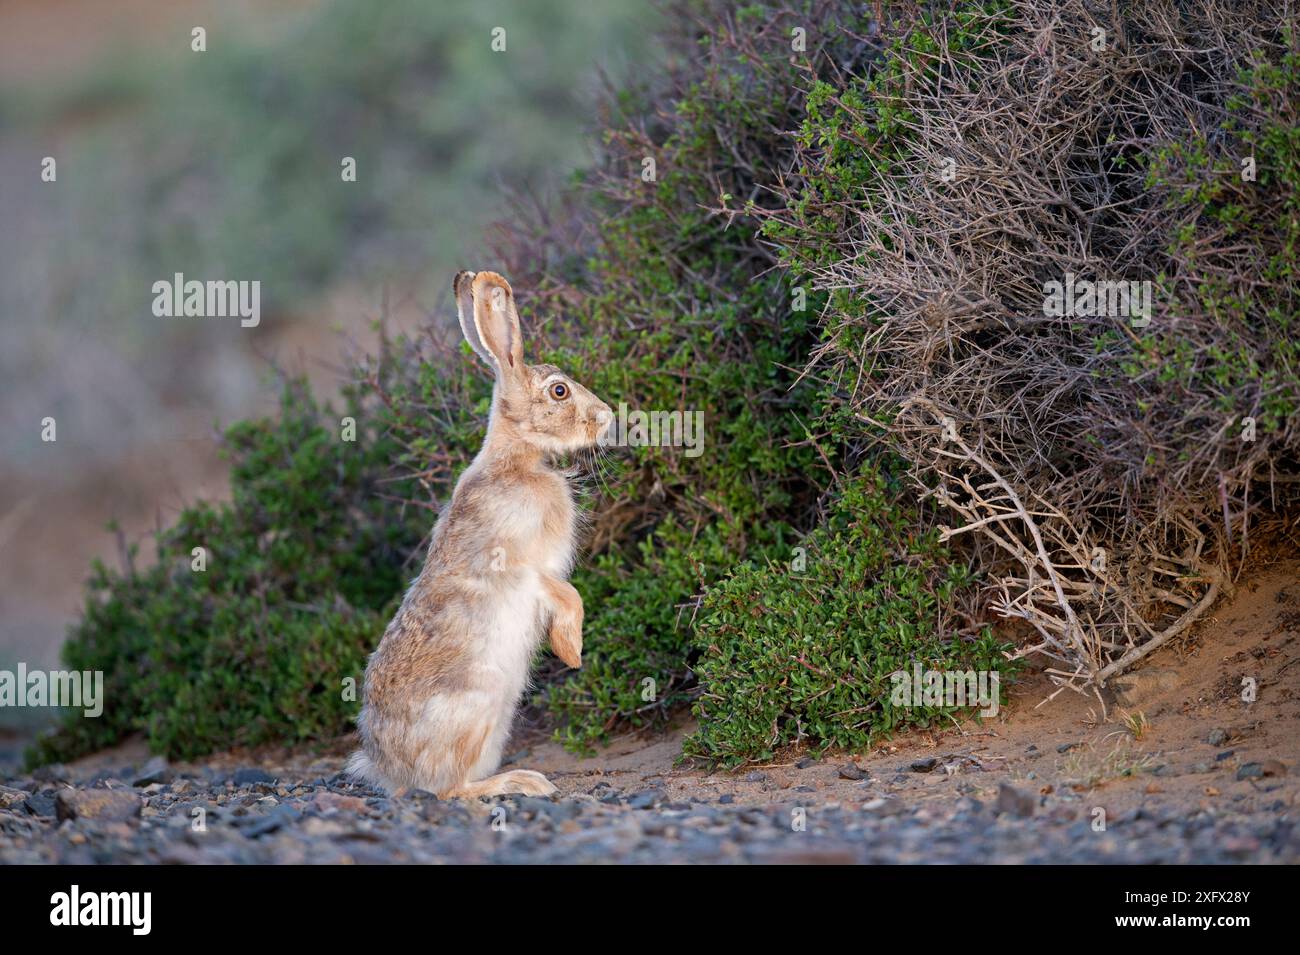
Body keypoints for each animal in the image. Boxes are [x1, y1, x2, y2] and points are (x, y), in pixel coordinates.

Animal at [346, 270, 613, 798]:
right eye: (559, 392)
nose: (609, 417)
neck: (519, 459)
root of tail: (390, 769)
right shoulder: (521, 564)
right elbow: (568, 594)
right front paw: (571, 652)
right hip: (474, 707)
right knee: (449, 790)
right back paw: (525, 782)